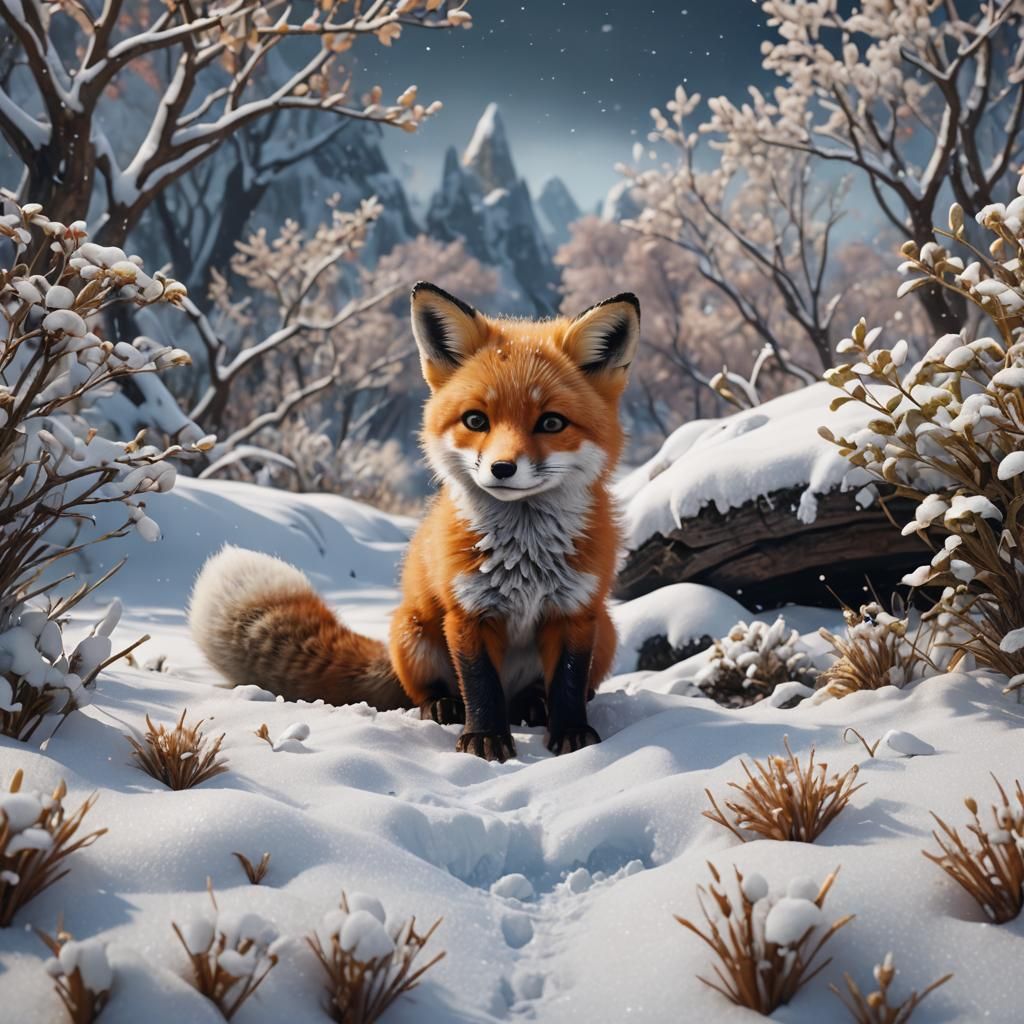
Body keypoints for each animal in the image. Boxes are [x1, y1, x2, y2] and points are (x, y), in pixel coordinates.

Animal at [189, 281, 641, 761]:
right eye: (476, 420)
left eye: (551, 423)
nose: (501, 469)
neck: (525, 557)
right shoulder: (467, 612)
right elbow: (480, 686)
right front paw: (484, 739)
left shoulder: (576, 612)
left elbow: (569, 684)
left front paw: (572, 733)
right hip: (413, 630)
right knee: (433, 692)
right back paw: (444, 705)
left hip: (606, 630)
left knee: (546, 691)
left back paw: (533, 705)